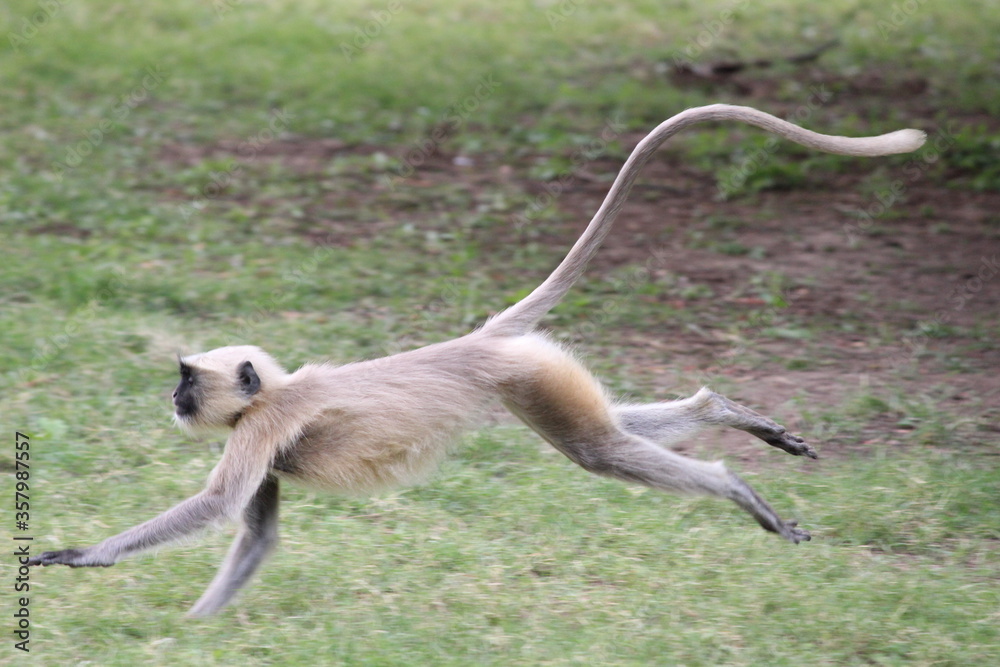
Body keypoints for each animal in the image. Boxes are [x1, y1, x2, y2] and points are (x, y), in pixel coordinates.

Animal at [29, 104, 926, 617]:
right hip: (536, 376)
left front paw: (84, 556)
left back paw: (738, 488)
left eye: (187, 378)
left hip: (529, 377)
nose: (174, 396)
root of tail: (479, 337)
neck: (268, 395)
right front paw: (193, 630)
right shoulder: (268, 446)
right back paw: (725, 415)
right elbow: (256, 534)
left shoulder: (261, 426)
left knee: (598, 449)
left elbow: (217, 508)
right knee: (607, 431)